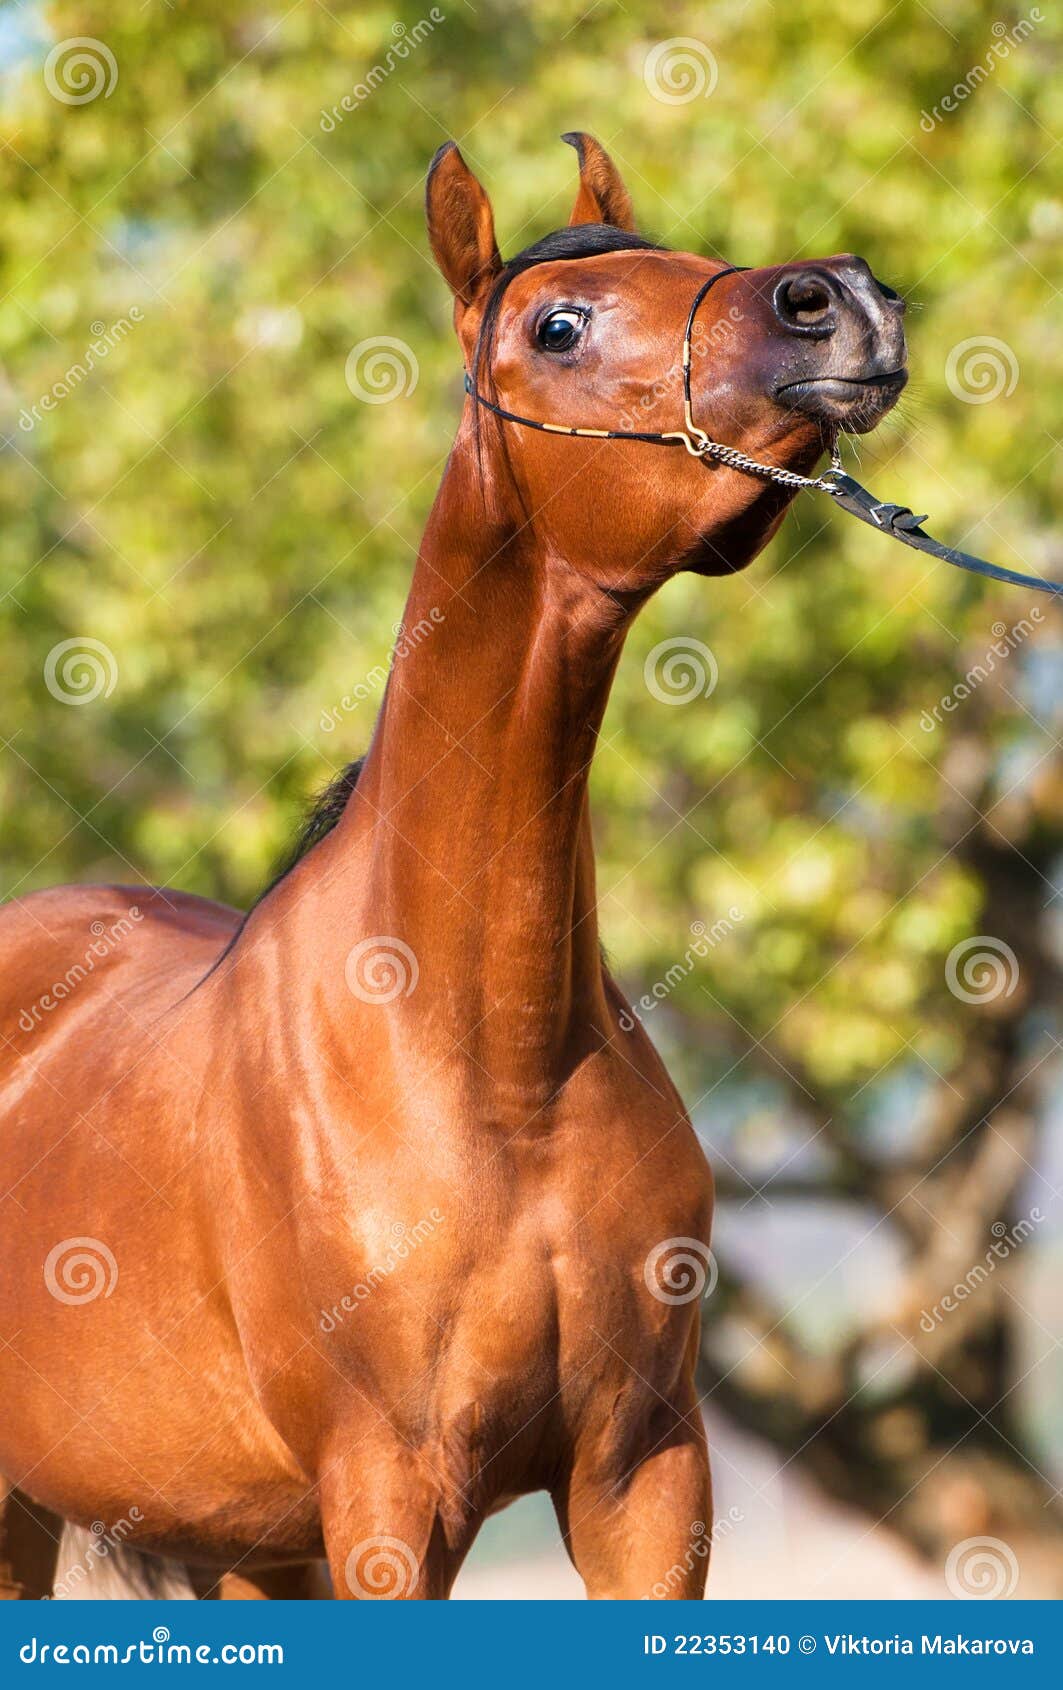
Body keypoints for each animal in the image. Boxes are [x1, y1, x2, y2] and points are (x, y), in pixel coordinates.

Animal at [0, 133, 906, 1600]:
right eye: (558, 325)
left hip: (255, 1544)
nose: (840, 297)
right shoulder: (390, 1488)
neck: (485, 1057)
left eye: (694, 253)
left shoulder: (642, 1473)